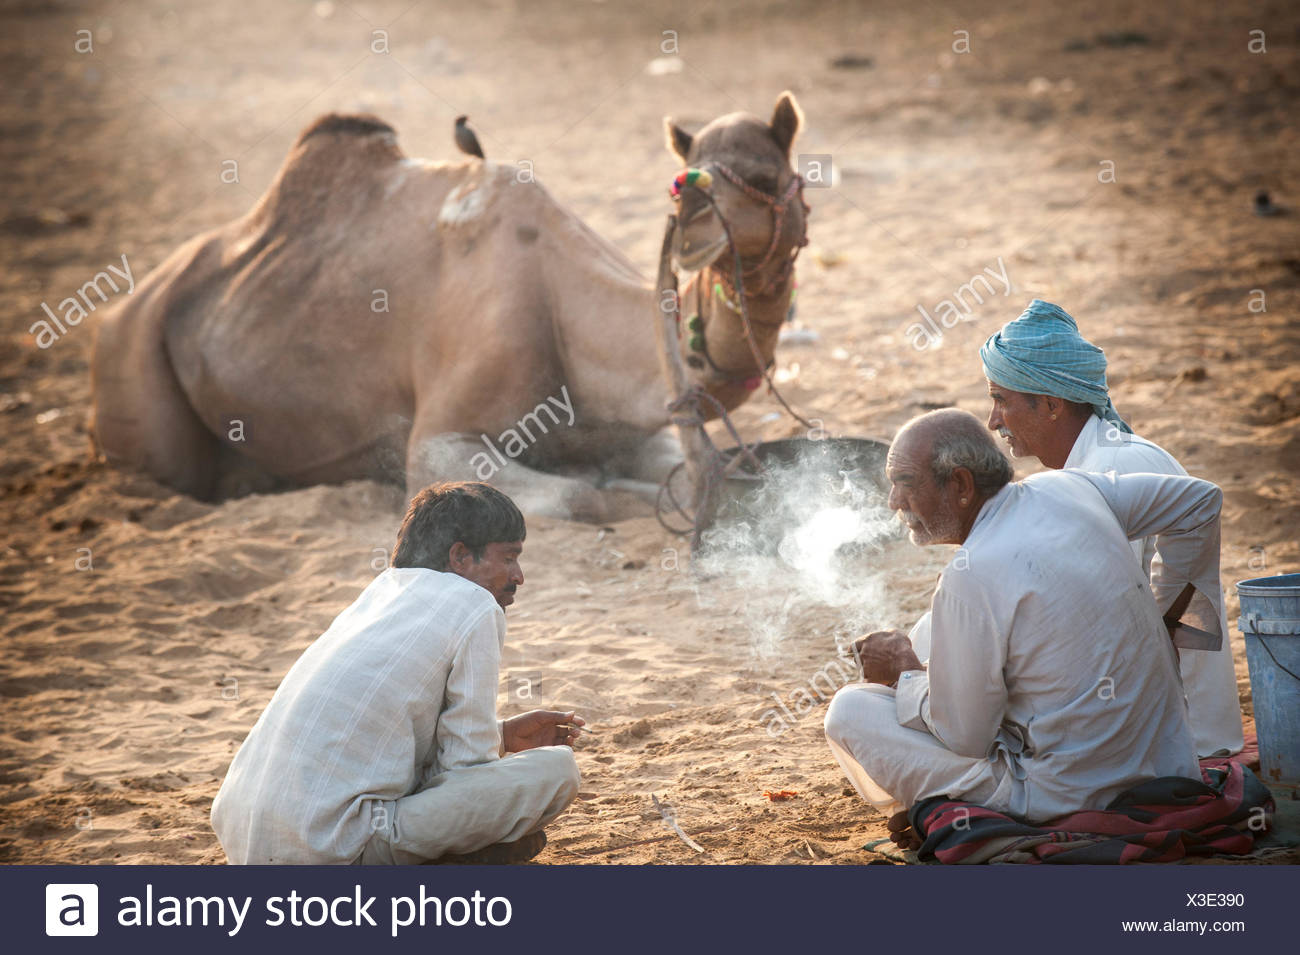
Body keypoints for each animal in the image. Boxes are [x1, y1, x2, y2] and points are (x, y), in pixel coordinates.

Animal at [90, 93, 809, 522]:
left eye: (767, 177)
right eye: (681, 182)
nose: (693, 229)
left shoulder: (640, 426)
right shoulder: (440, 442)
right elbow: (580, 494)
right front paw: (614, 491)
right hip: (133, 362)